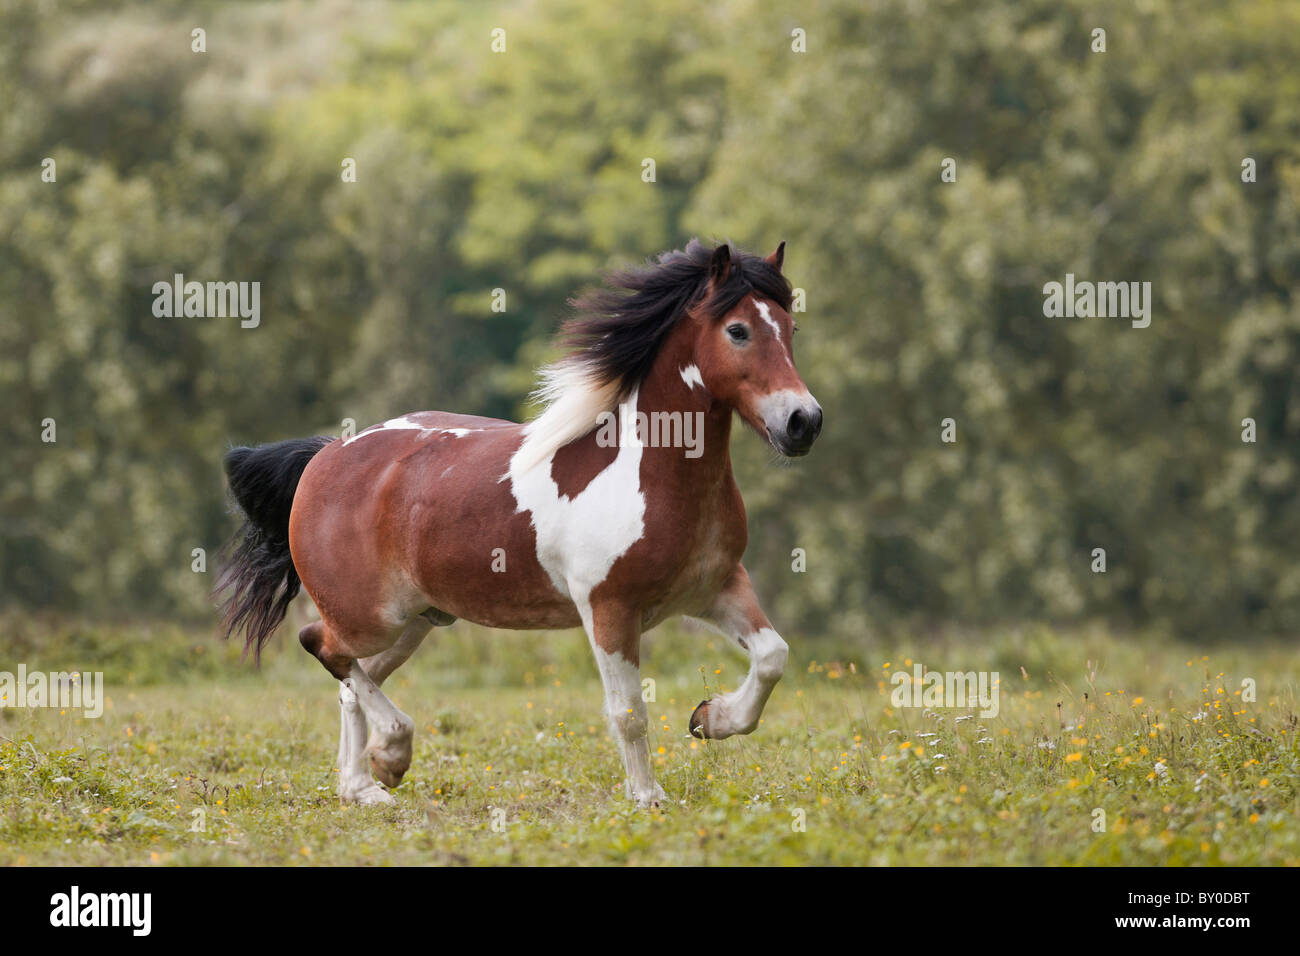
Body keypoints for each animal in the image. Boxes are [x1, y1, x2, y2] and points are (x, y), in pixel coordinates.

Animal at [215, 239, 822, 808]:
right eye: (738, 330)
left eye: (790, 326)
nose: (803, 422)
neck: (648, 477)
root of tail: (325, 456)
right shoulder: (608, 608)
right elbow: (628, 711)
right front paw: (648, 796)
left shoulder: (716, 588)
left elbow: (773, 657)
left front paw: (710, 718)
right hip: (370, 615)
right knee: (321, 645)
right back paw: (392, 754)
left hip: (416, 619)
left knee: (351, 679)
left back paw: (363, 786)